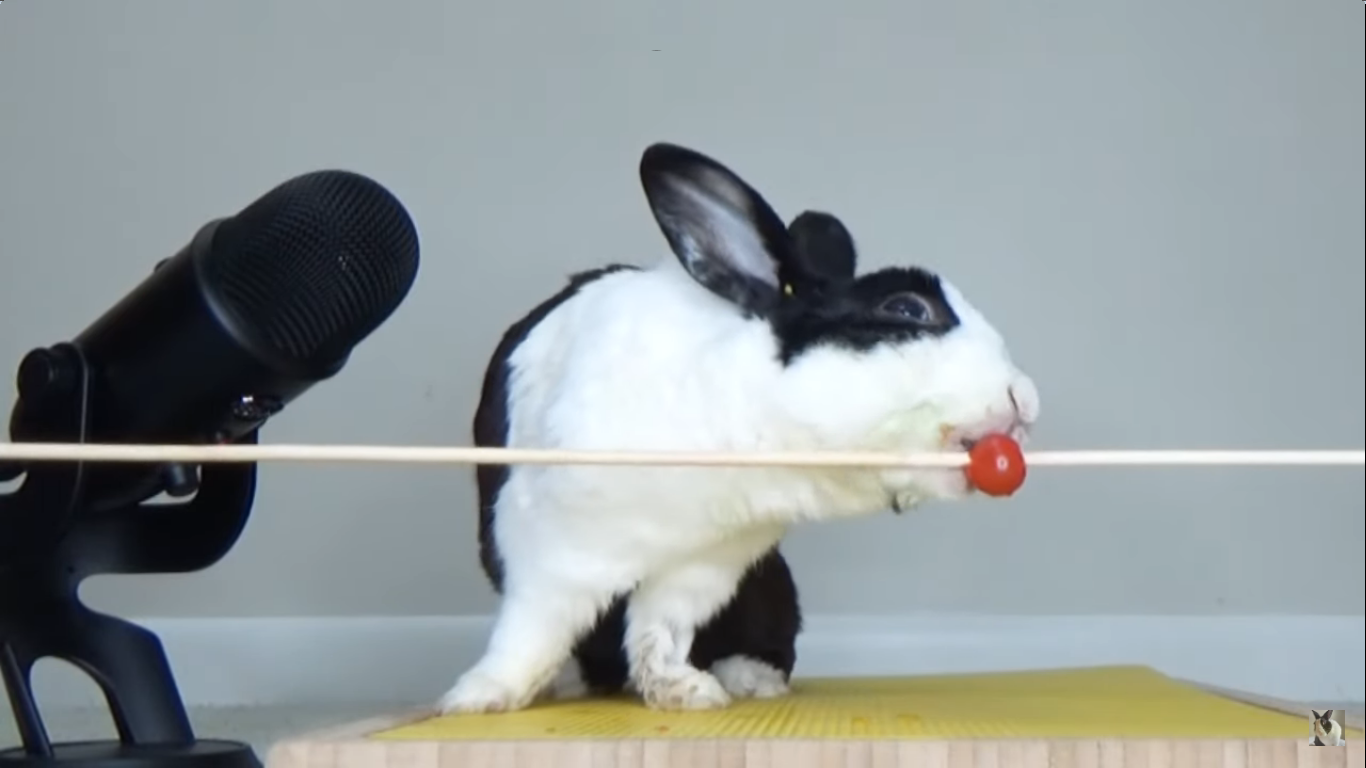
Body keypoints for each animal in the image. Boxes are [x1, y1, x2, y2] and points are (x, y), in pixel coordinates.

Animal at [446, 141, 1040, 714]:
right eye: (908, 309)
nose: (1026, 399)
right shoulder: (553, 550)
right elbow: (531, 632)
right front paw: (477, 698)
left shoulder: (701, 569)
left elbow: (658, 634)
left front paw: (685, 694)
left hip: (771, 588)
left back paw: (749, 680)